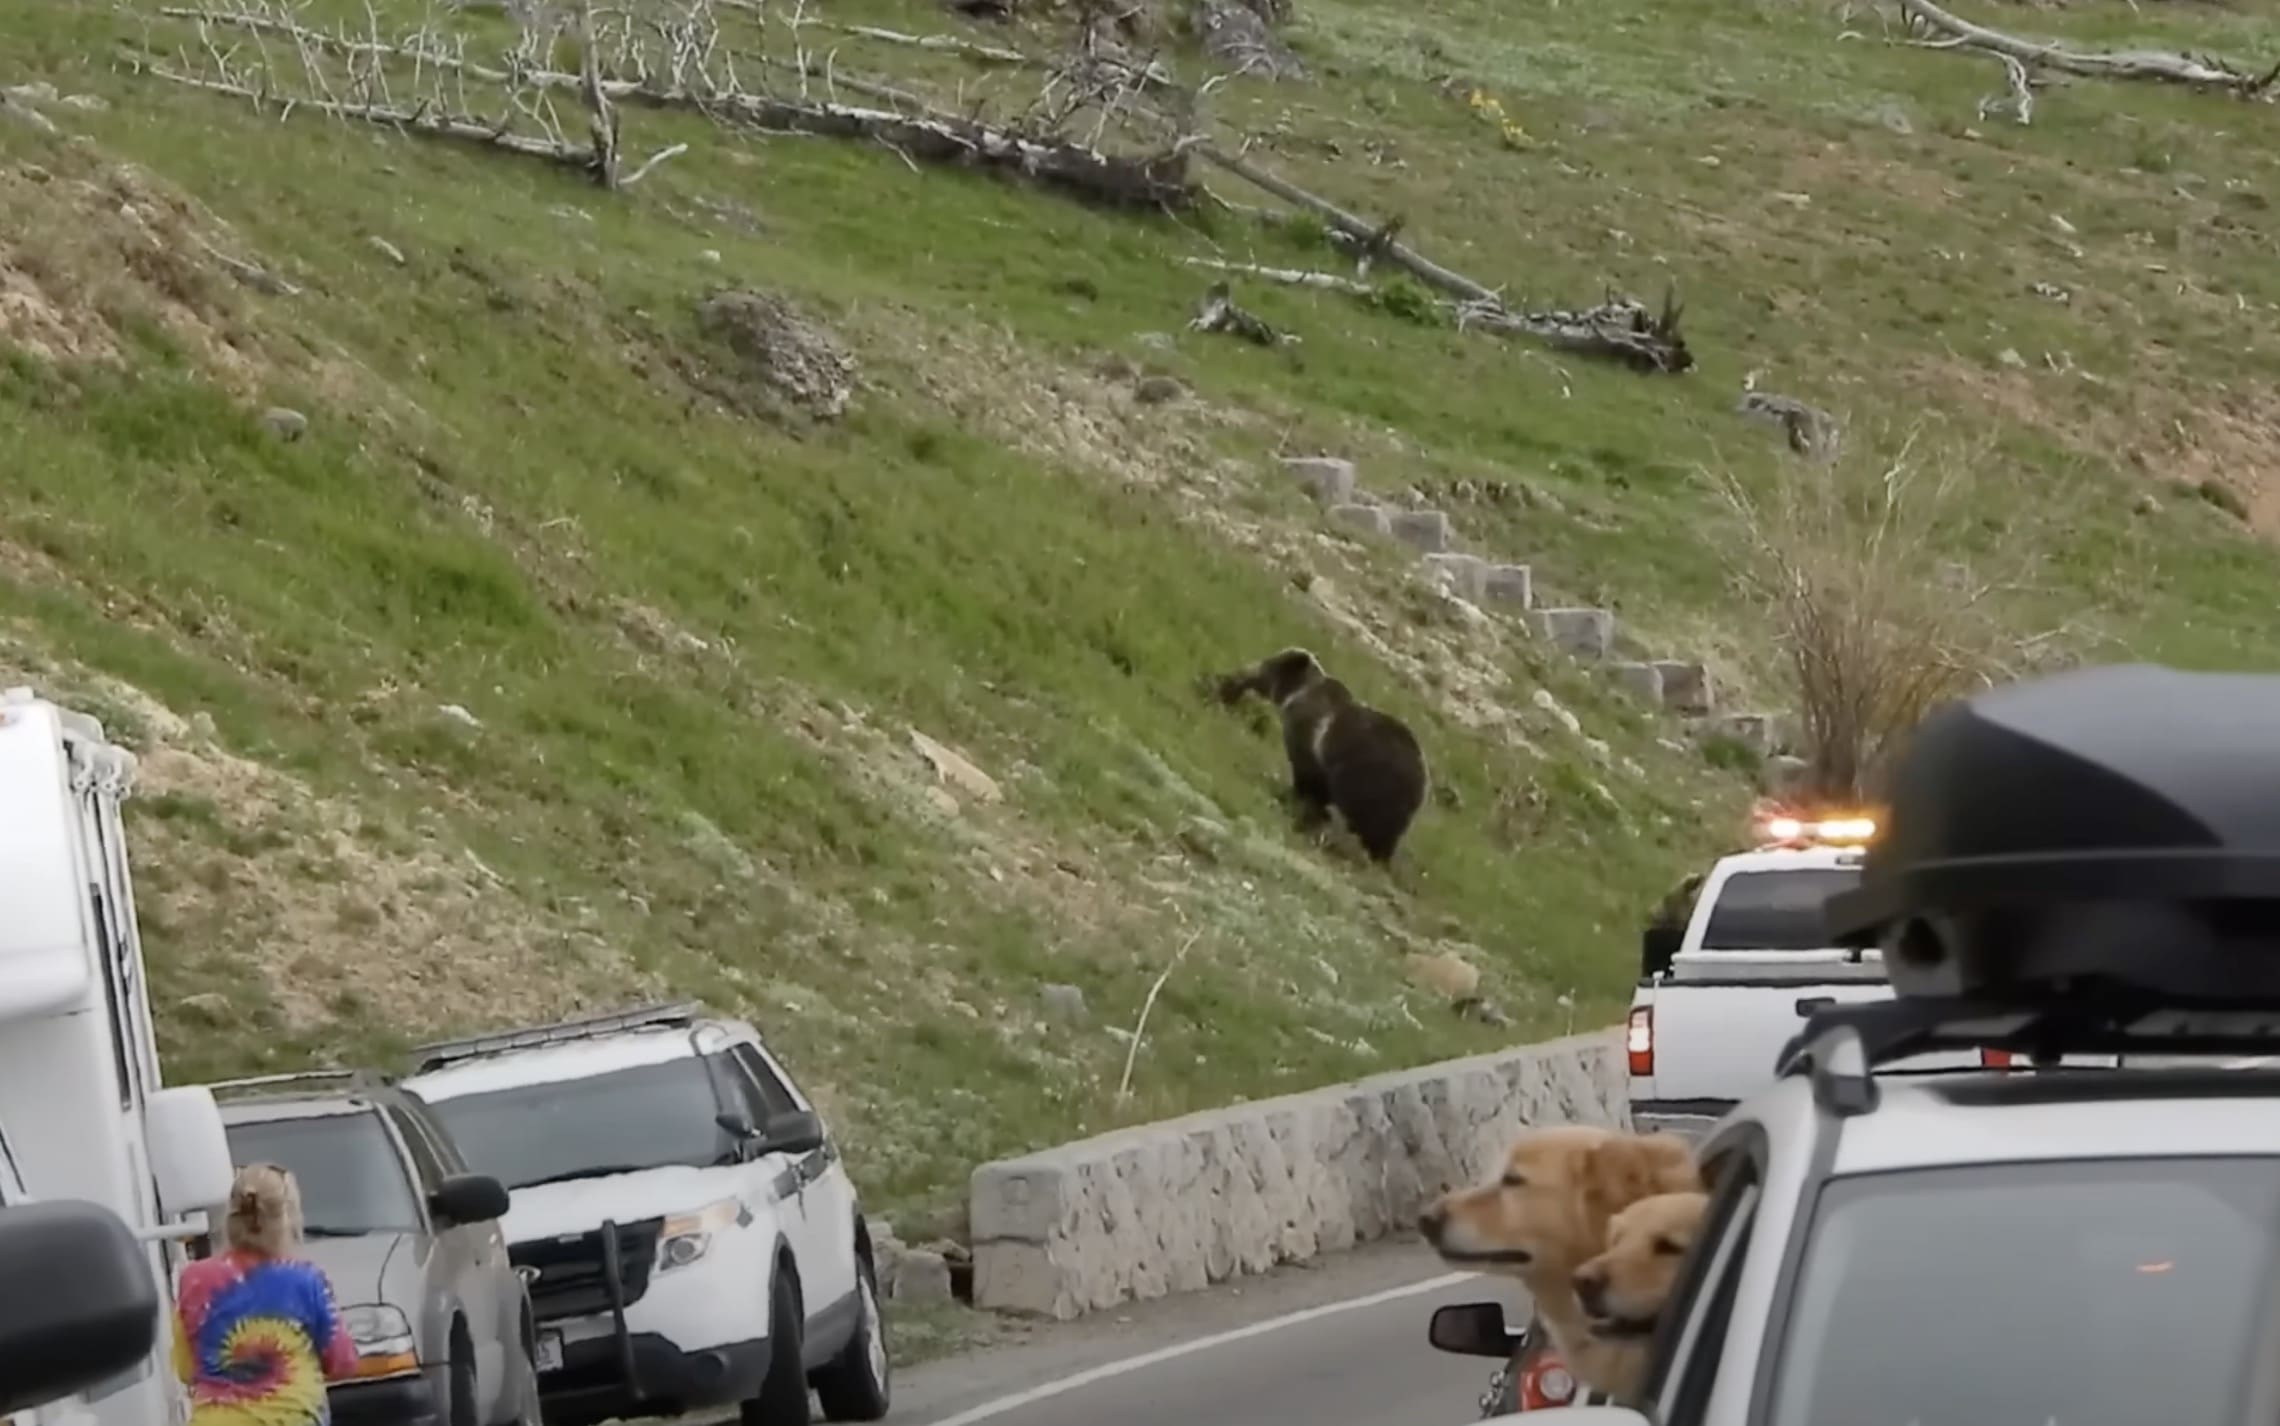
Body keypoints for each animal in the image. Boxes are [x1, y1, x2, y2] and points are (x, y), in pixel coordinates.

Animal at [1207, 647, 1429, 864]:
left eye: (1269, 664)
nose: (1245, 672)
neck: (1298, 693)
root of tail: (1421, 782)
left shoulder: (1311, 746)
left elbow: (1309, 781)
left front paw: (1299, 804)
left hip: (1371, 781)